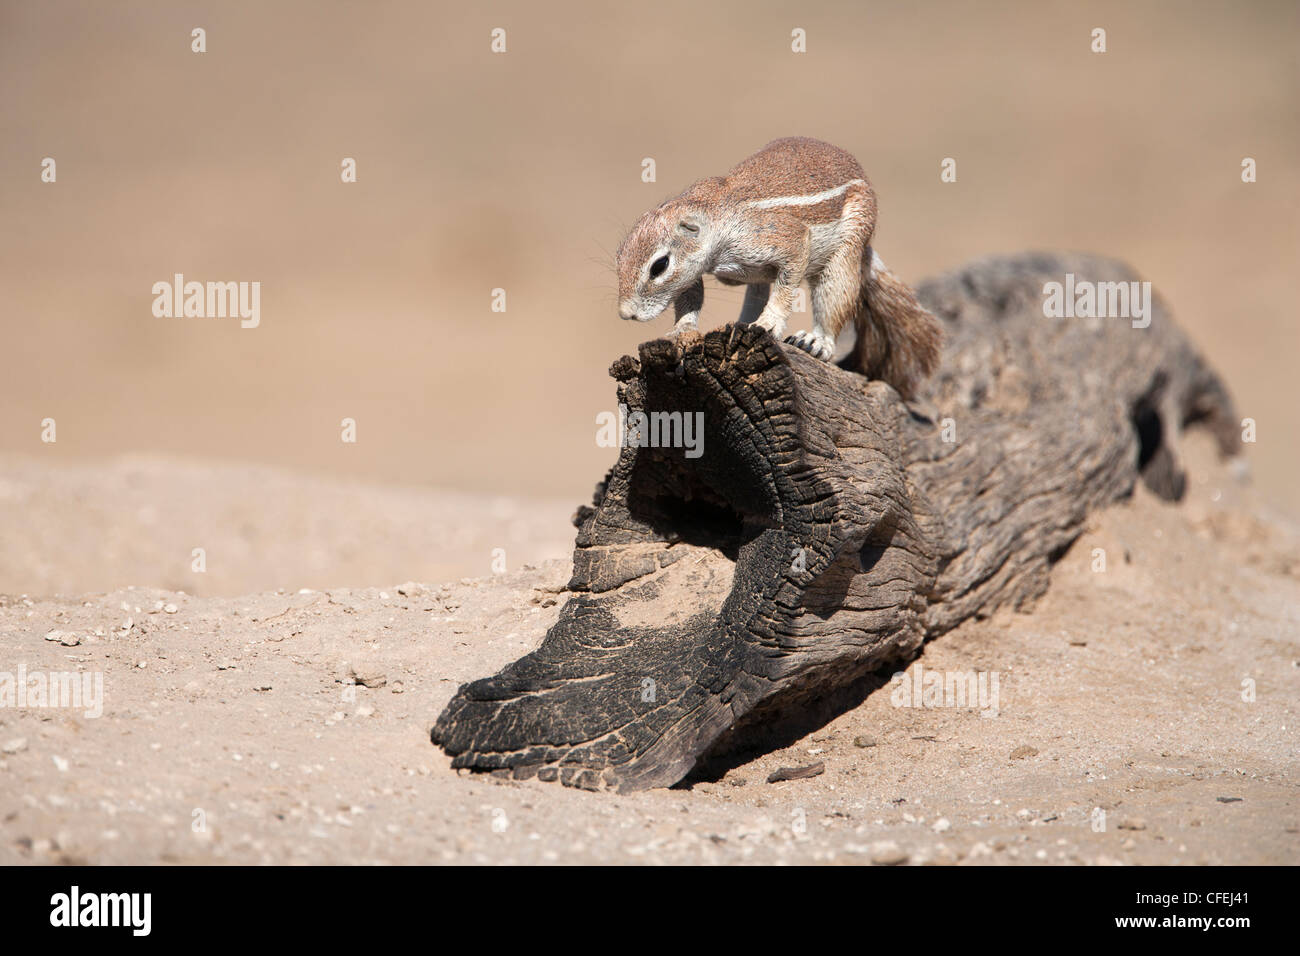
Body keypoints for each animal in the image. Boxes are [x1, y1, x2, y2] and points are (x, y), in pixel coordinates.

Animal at [615, 136, 942, 401]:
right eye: (619, 257)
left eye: (659, 265)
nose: (625, 313)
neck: (716, 217)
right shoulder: (700, 271)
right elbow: (691, 296)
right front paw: (681, 330)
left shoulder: (786, 240)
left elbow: (787, 286)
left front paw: (769, 323)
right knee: (757, 290)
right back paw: (742, 322)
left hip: (847, 253)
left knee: (834, 300)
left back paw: (816, 342)